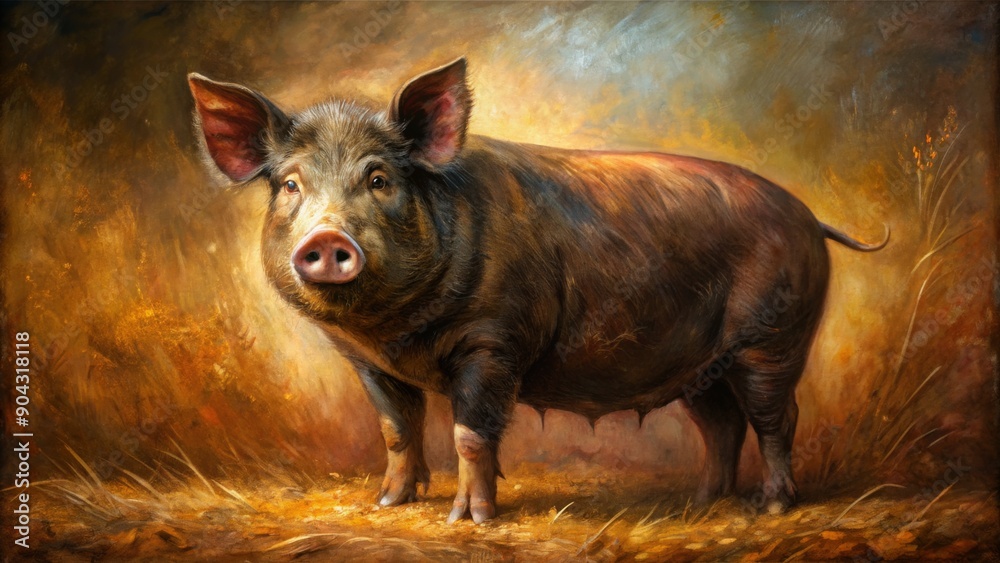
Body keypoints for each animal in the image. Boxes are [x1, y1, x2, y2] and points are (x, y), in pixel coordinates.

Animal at [188, 57, 888, 524]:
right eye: (290, 185)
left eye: (380, 178)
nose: (328, 238)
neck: (398, 332)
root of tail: (809, 217)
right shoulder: (365, 361)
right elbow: (396, 431)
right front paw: (389, 503)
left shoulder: (496, 342)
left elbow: (471, 434)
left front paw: (469, 520)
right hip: (702, 364)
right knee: (721, 424)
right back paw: (701, 503)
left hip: (774, 337)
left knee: (776, 418)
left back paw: (770, 508)